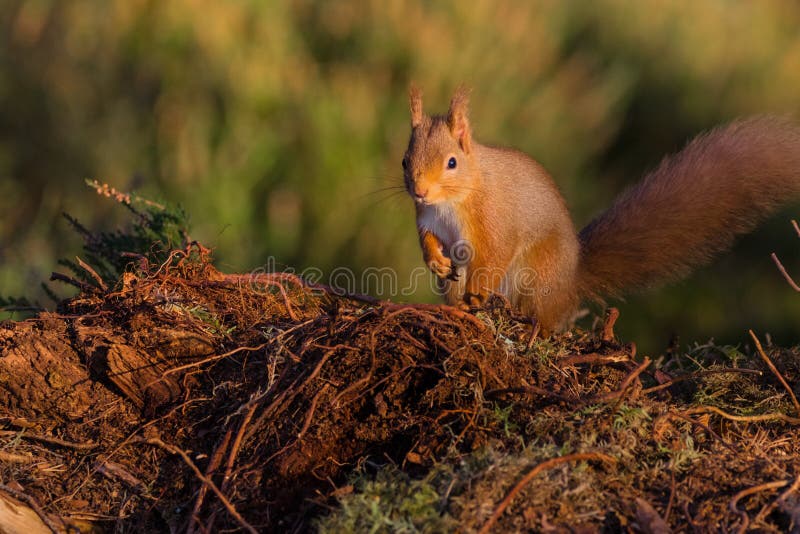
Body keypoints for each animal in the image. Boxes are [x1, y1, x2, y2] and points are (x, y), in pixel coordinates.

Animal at [403, 86, 800, 331]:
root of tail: (571, 280)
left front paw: (478, 289)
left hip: (536, 278)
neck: (451, 202)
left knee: (545, 321)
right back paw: (457, 309)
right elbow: (426, 239)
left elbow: (496, 251)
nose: (420, 191)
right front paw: (434, 258)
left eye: (452, 162)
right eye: (405, 160)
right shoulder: (427, 218)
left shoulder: (494, 218)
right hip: (457, 285)